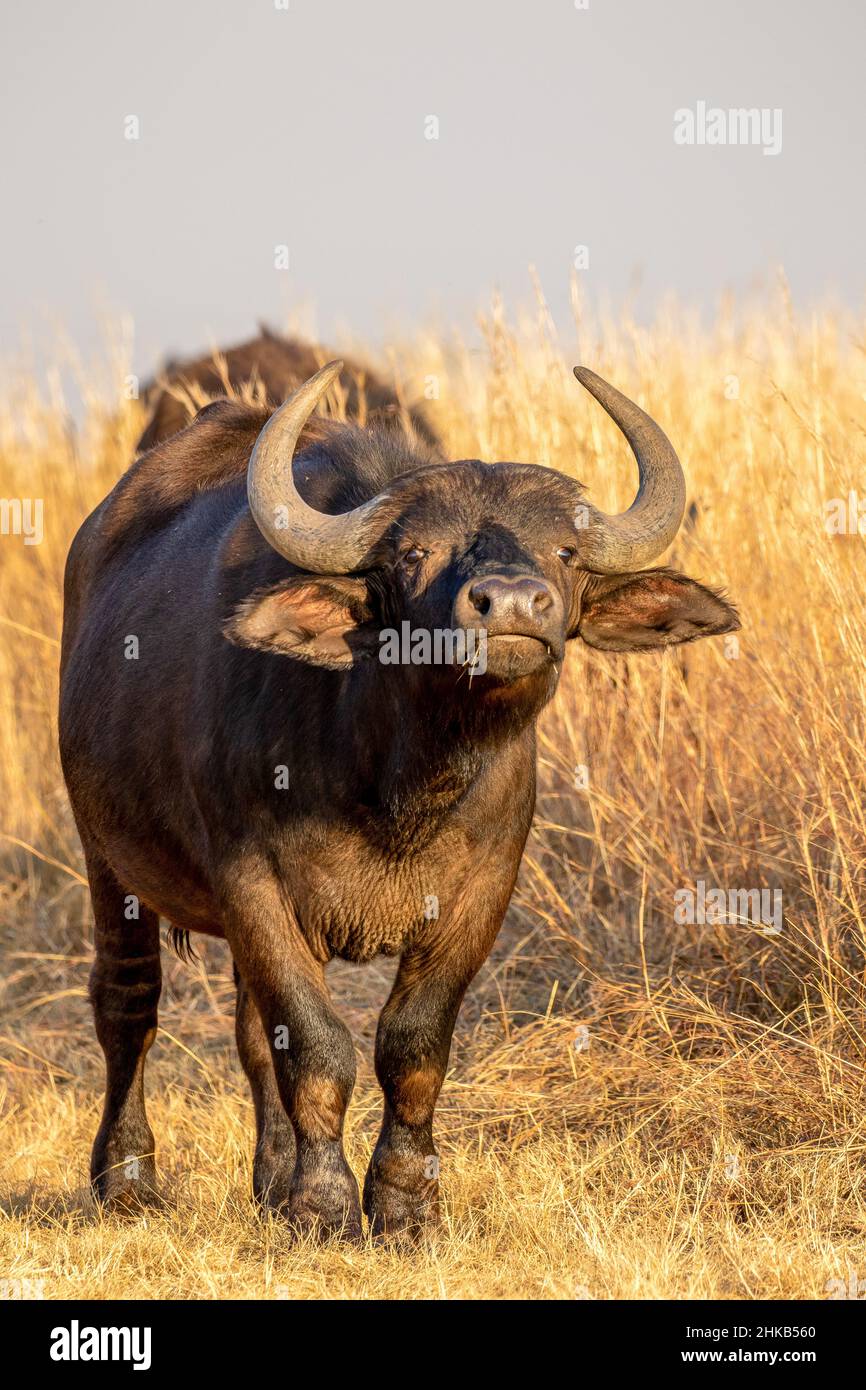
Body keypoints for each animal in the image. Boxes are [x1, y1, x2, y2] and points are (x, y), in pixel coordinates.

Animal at [59, 358, 738, 1239]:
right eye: (415, 553)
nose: (511, 605)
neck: (393, 782)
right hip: (105, 854)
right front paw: (324, 1204)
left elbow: (410, 1047)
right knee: (128, 1004)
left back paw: (269, 1183)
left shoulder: (480, 895)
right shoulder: (254, 884)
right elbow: (318, 1047)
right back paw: (128, 1179)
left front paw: (404, 1202)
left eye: (565, 550)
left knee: (251, 1034)